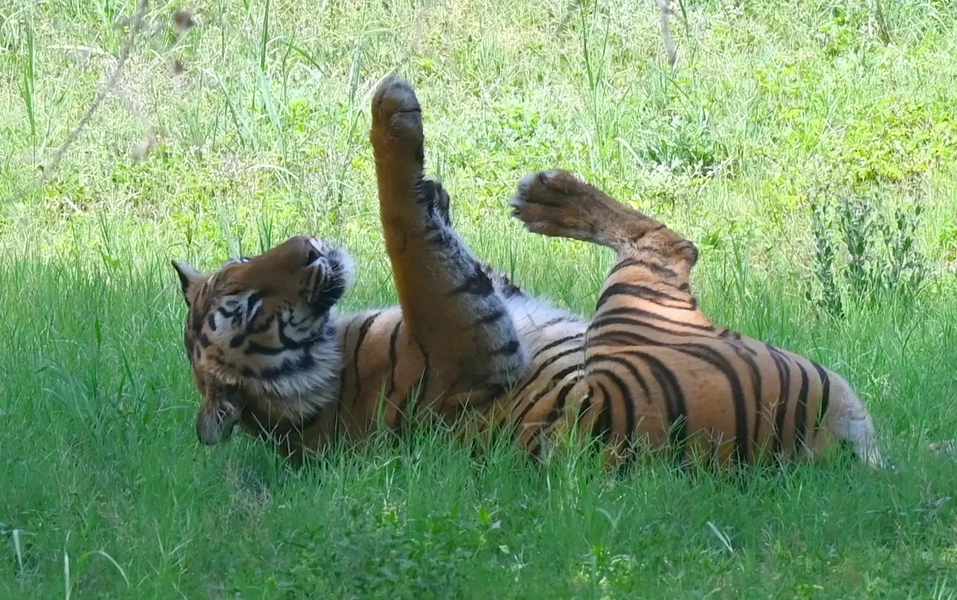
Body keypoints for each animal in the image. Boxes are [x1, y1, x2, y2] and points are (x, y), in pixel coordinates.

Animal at [171, 75, 885, 470]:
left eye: (239, 268)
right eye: (247, 309)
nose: (309, 249)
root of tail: (830, 449)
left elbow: (435, 234)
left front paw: (435, 191)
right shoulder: (463, 338)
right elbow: (408, 239)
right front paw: (392, 116)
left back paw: (546, 197)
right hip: (632, 318)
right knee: (669, 246)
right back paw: (545, 196)